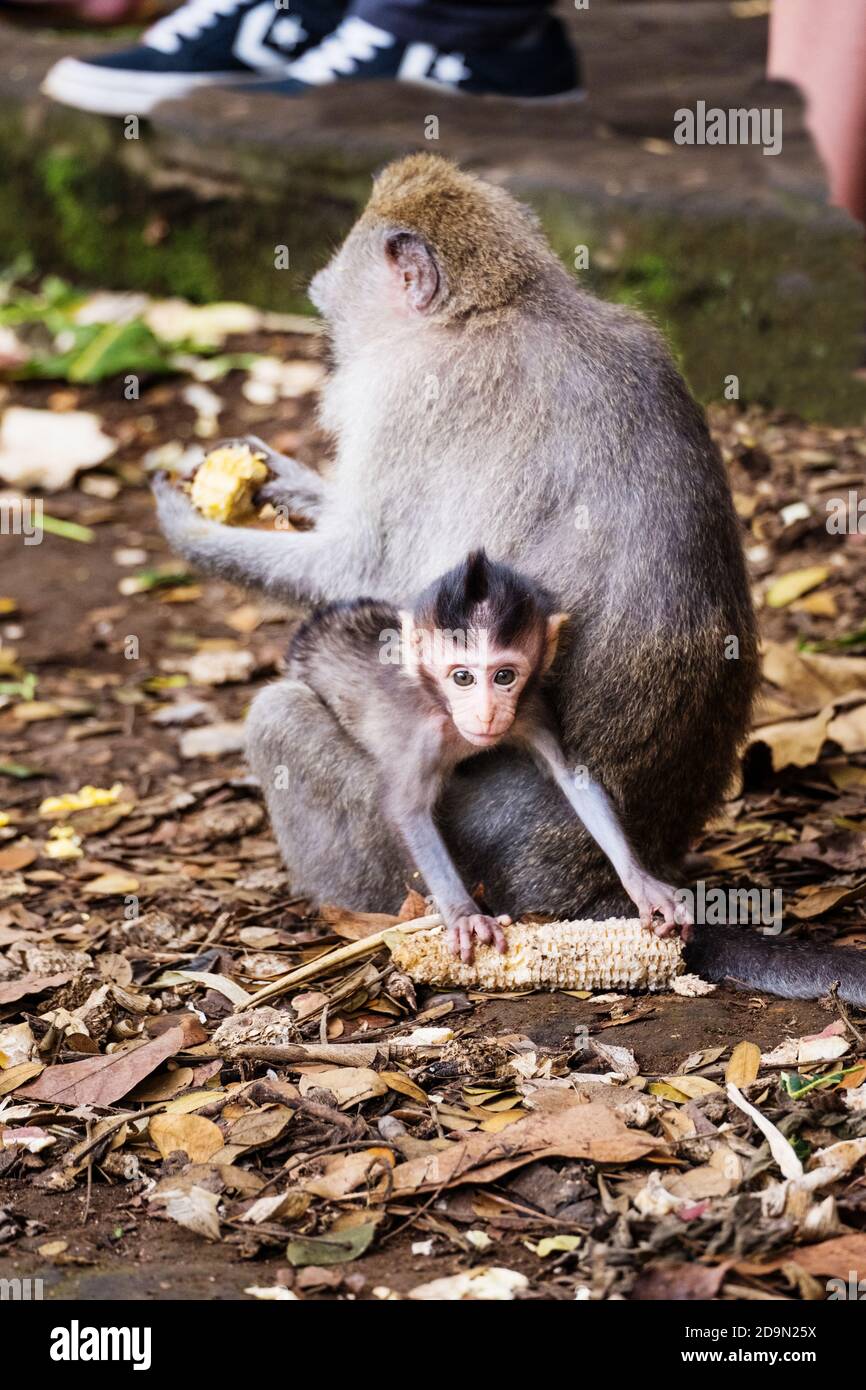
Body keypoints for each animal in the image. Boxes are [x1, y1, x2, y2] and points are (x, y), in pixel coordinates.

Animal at [287, 550, 682, 962]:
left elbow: (570, 774)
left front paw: (642, 883)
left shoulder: (530, 708)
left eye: (504, 676)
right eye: (463, 678)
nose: (487, 713)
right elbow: (408, 811)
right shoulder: (422, 738)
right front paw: (465, 915)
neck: (442, 706)